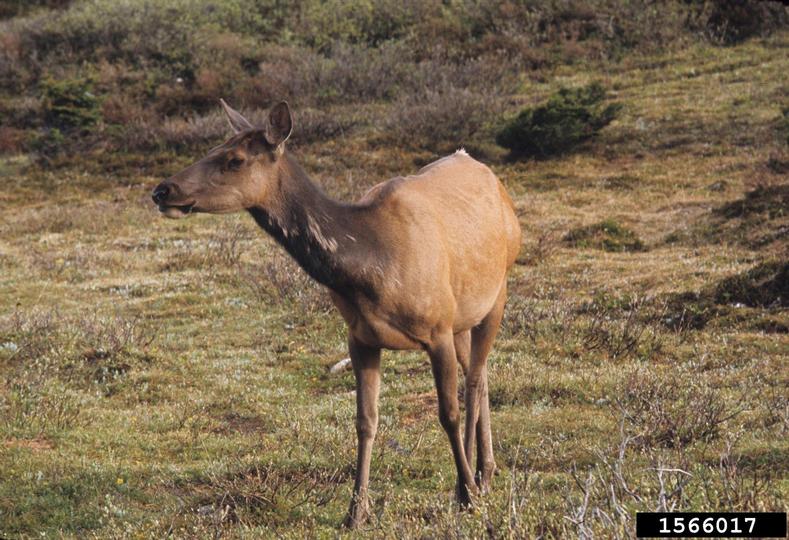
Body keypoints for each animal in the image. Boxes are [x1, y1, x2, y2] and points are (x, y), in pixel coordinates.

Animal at [152, 100, 521, 528]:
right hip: (463, 314)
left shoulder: (436, 328)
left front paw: (464, 496)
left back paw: (479, 479)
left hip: (496, 292)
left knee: (475, 381)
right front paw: (355, 511)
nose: (163, 190)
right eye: (211, 147)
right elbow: (365, 421)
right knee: (482, 374)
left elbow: (448, 412)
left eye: (234, 159)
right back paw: (484, 470)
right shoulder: (360, 337)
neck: (370, 267)